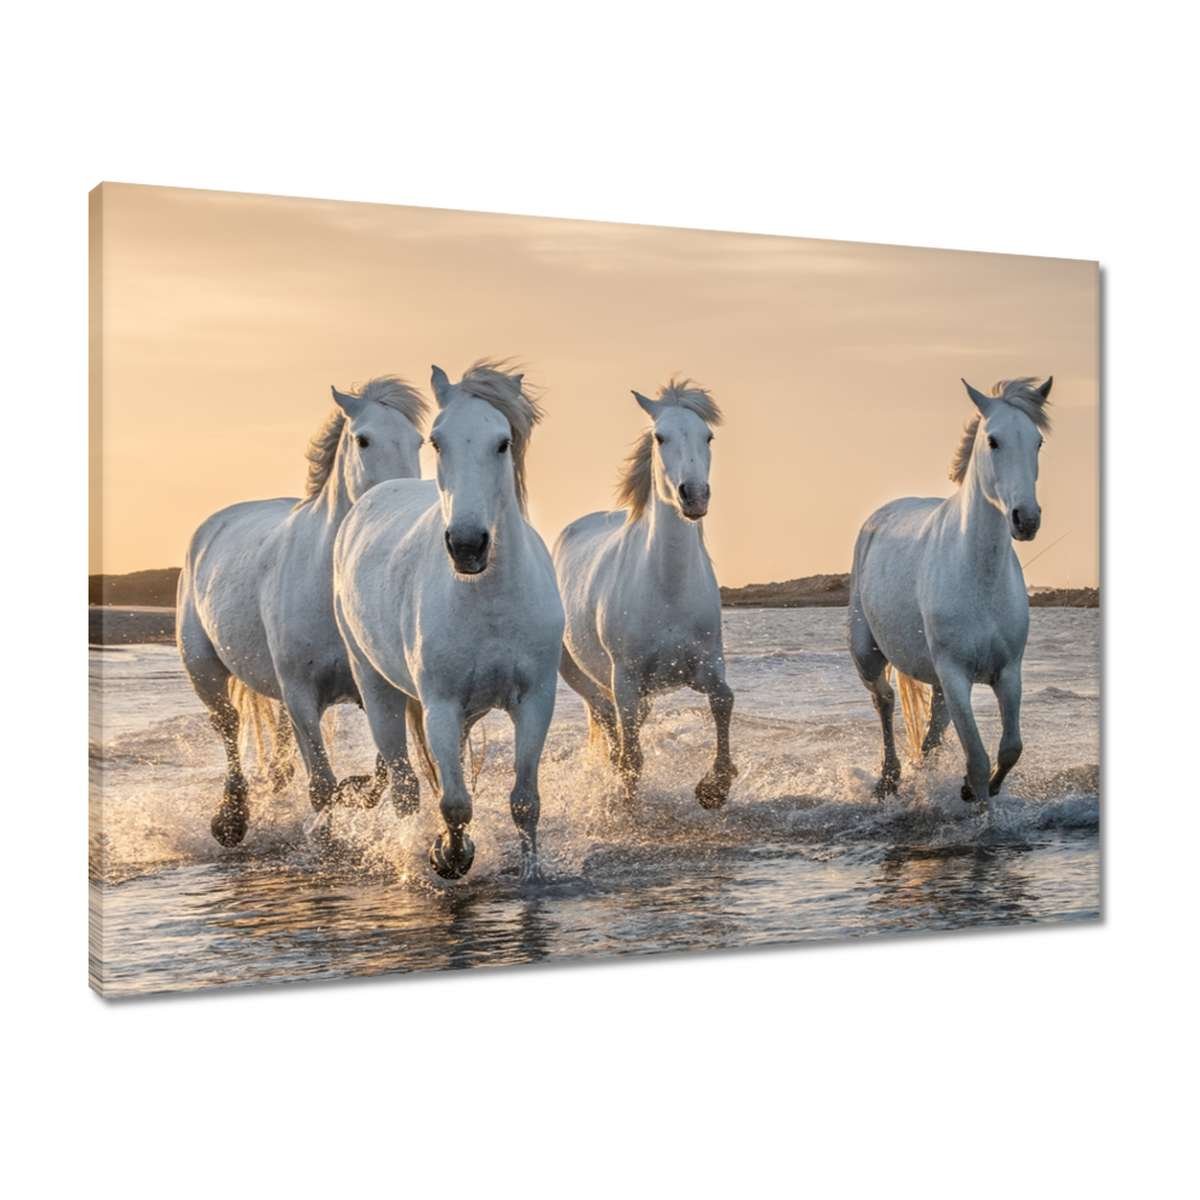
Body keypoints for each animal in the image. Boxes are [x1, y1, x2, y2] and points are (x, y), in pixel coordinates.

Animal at [177, 376, 429, 846]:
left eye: (419, 441)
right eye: (363, 439)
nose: (397, 501)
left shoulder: (377, 689)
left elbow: (381, 774)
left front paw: (354, 792)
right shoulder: (302, 694)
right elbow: (322, 786)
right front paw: (326, 837)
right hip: (203, 669)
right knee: (229, 726)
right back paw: (231, 820)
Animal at [332, 361, 563, 882]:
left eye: (502, 442)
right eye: (437, 442)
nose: (467, 545)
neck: (489, 599)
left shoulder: (535, 700)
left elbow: (525, 801)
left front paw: (532, 875)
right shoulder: (440, 704)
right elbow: (454, 803)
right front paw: (450, 855)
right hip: (377, 689)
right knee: (404, 785)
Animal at [554, 379, 735, 810]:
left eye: (708, 436)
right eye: (660, 437)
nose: (694, 496)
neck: (667, 588)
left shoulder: (706, 665)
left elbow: (724, 700)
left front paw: (714, 788)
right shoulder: (626, 678)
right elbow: (631, 756)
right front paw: (628, 807)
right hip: (584, 676)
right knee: (608, 722)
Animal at [848, 375, 1053, 812]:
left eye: (1038, 441)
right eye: (993, 441)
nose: (1026, 520)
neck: (978, 576)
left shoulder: (1008, 672)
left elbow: (1010, 748)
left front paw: (973, 791)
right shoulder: (956, 675)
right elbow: (977, 757)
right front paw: (982, 811)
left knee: (931, 732)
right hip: (868, 655)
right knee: (884, 701)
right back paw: (888, 781)